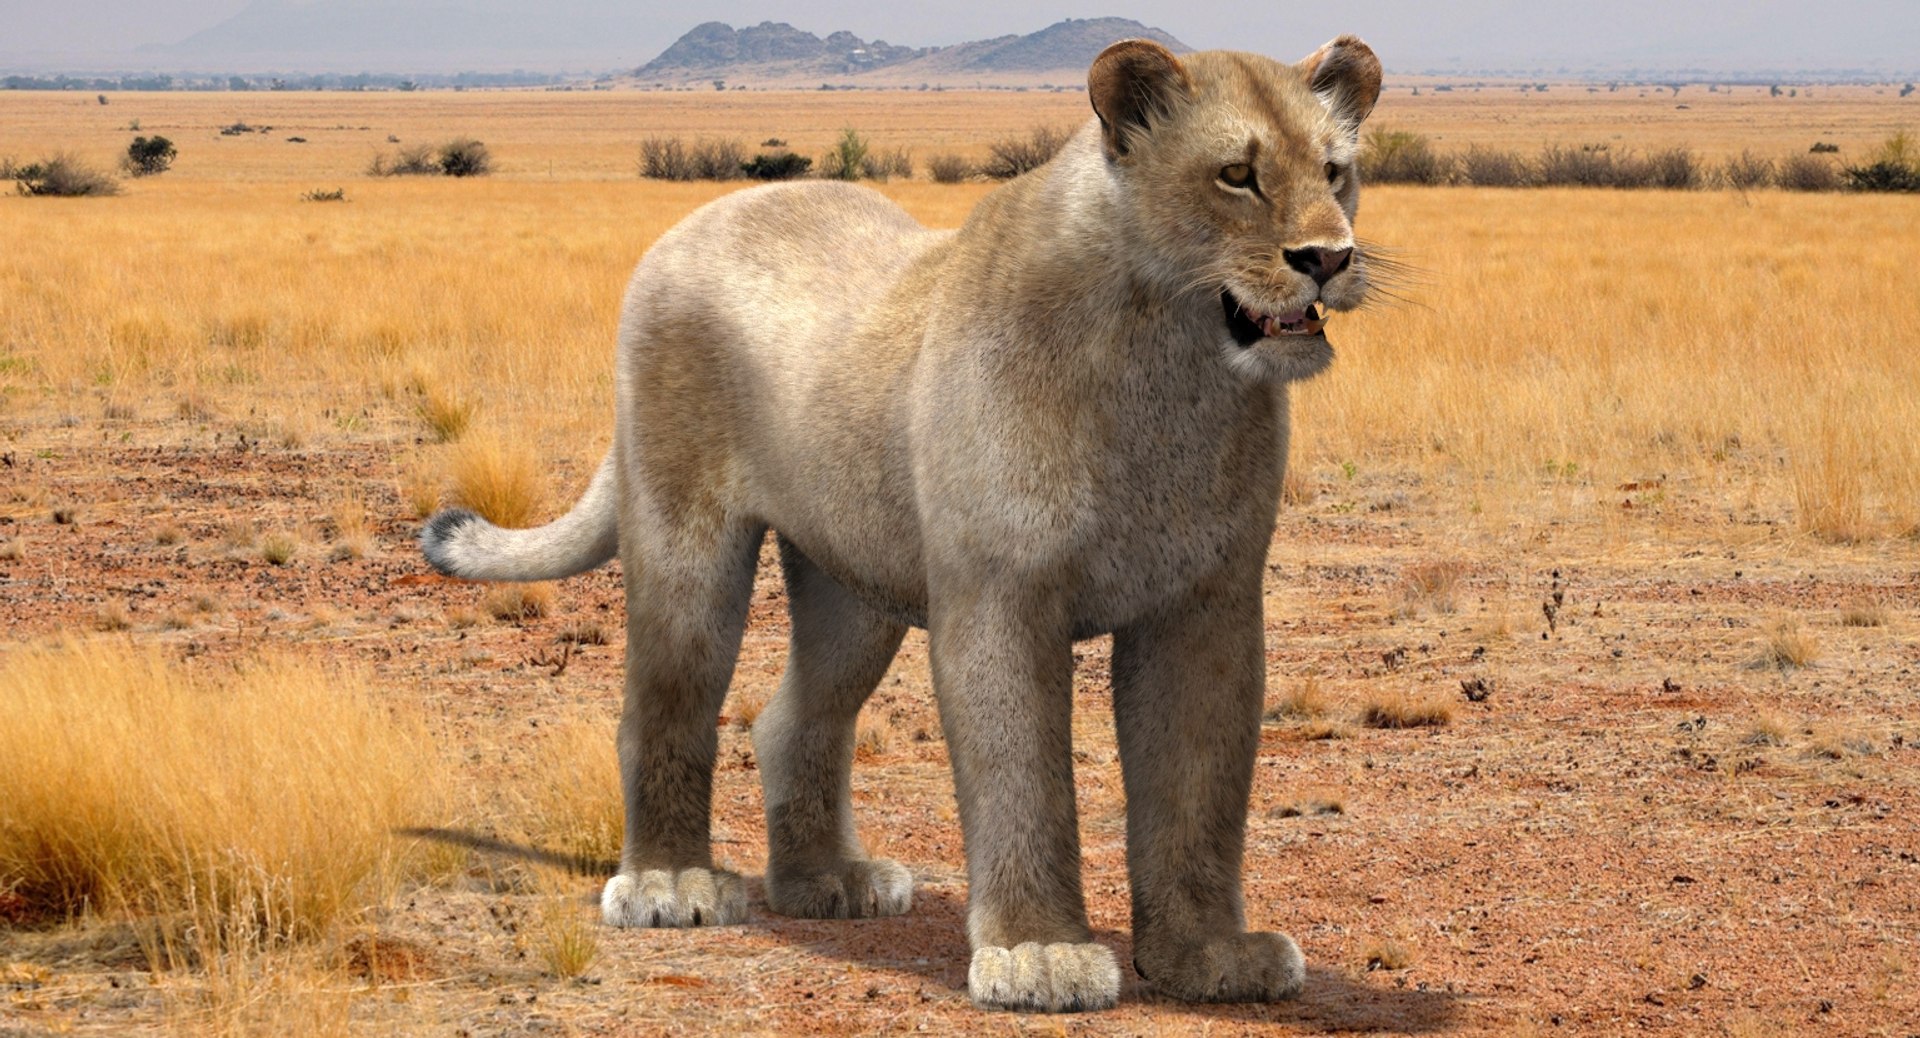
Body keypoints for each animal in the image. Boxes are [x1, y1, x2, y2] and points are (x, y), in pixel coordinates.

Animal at [422, 36, 1383, 1012]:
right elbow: (1022, 775)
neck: (1175, 367)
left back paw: (826, 883)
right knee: (665, 701)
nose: (1329, 258)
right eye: (1237, 175)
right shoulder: (1000, 597)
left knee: (792, 718)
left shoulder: (1207, 604)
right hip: (686, 540)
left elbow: (1199, 788)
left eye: (1334, 171)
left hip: (853, 587)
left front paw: (1208, 956)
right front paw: (1039, 955)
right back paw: (668, 884)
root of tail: (693, 222)